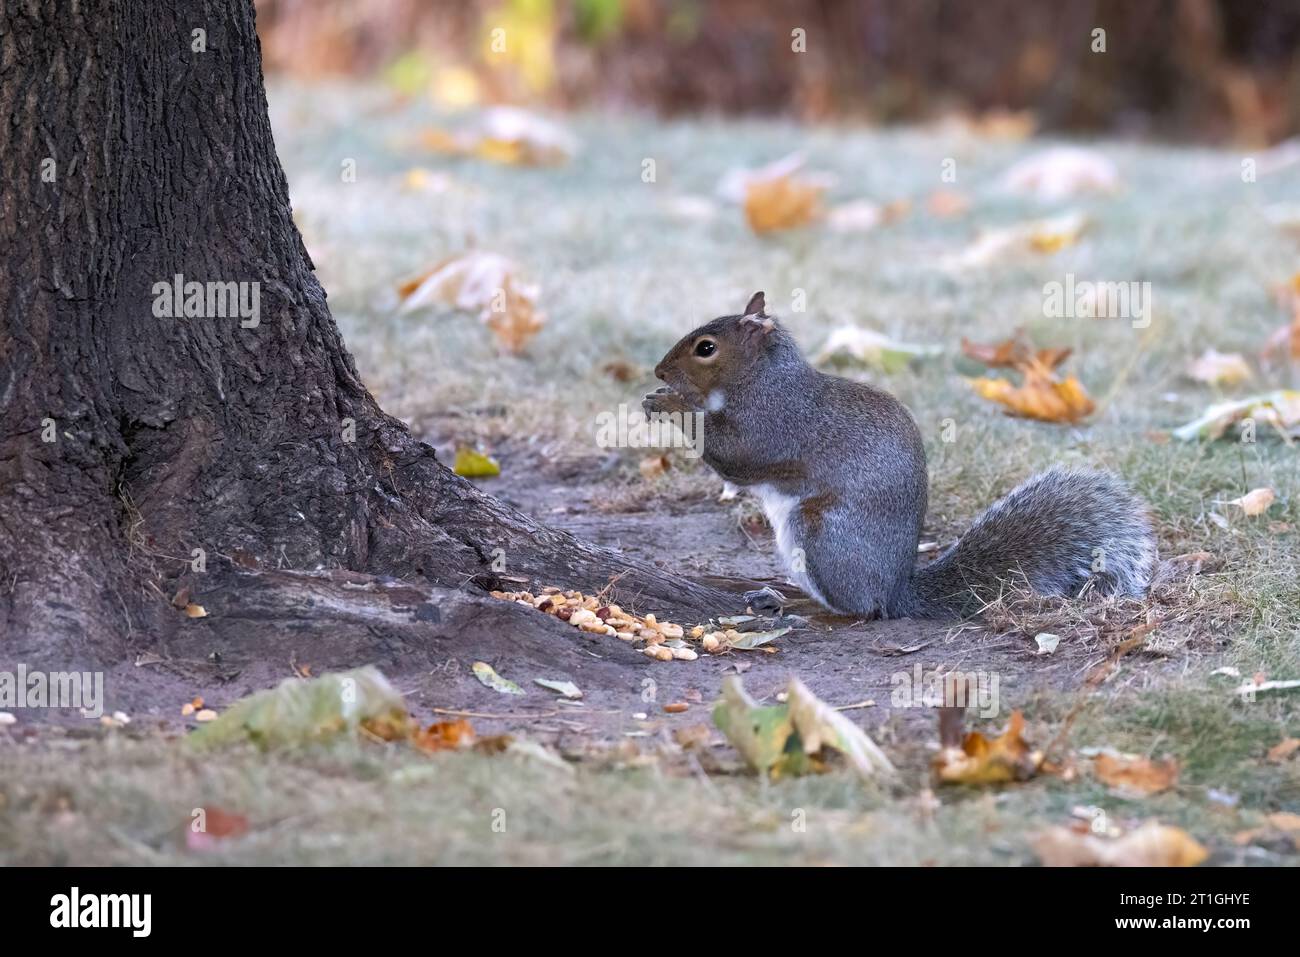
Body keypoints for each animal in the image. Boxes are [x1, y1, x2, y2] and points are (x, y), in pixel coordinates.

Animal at [643, 291, 1157, 619]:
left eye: (706, 348)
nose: (659, 370)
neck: (761, 380)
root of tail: (895, 592)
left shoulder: (773, 425)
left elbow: (734, 457)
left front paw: (673, 404)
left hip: (820, 535)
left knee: (859, 609)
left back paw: (796, 602)